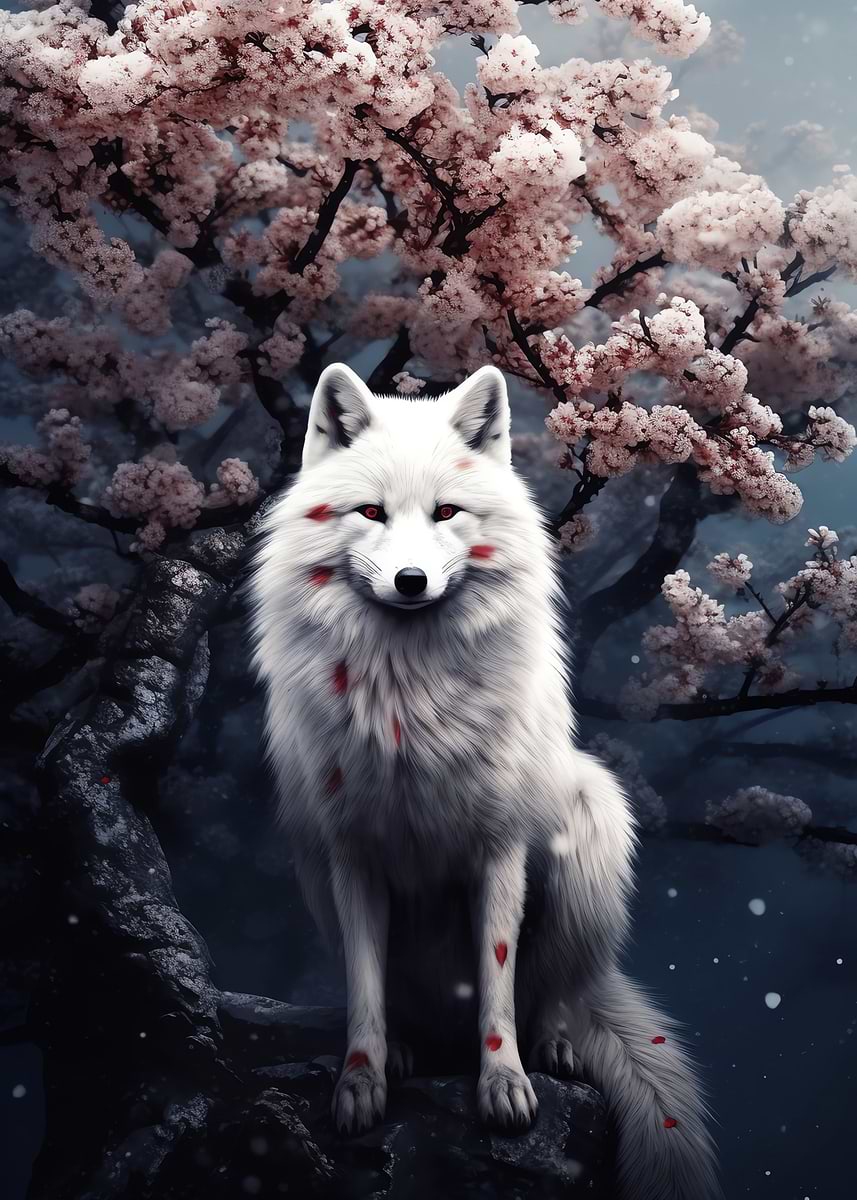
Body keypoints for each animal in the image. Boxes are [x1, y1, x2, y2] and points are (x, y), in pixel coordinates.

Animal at [248, 362, 722, 1200]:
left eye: (446, 512)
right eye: (371, 512)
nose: (409, 581)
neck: (408, 700)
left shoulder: (499, 854)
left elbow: (495, 990)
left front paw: (504, 1087)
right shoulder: (350, 857)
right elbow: (364, 988)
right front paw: (360, 1085)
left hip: (587, 832)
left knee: (557, 990)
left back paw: (558, 1044)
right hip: (310, 866)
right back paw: (409, 1049)